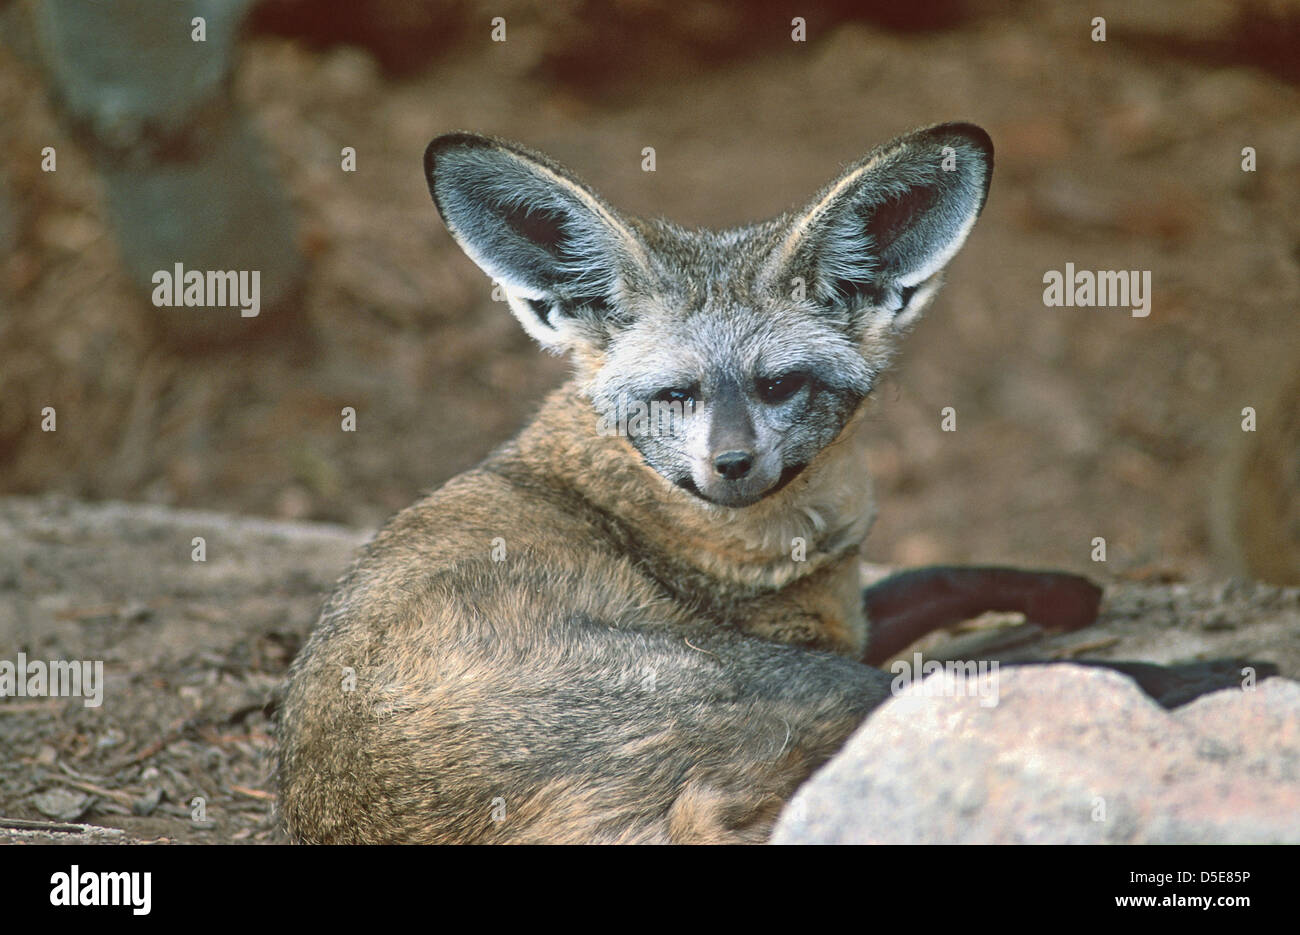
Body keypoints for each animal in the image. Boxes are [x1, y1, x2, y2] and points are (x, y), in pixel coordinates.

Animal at [275, 123, 1105, 844]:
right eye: (676, 395)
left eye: (780, 385)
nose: (731, 464)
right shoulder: (820, 648)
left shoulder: (847, 620)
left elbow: (937, 575)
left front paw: (1059, 590)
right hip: (794, 681)